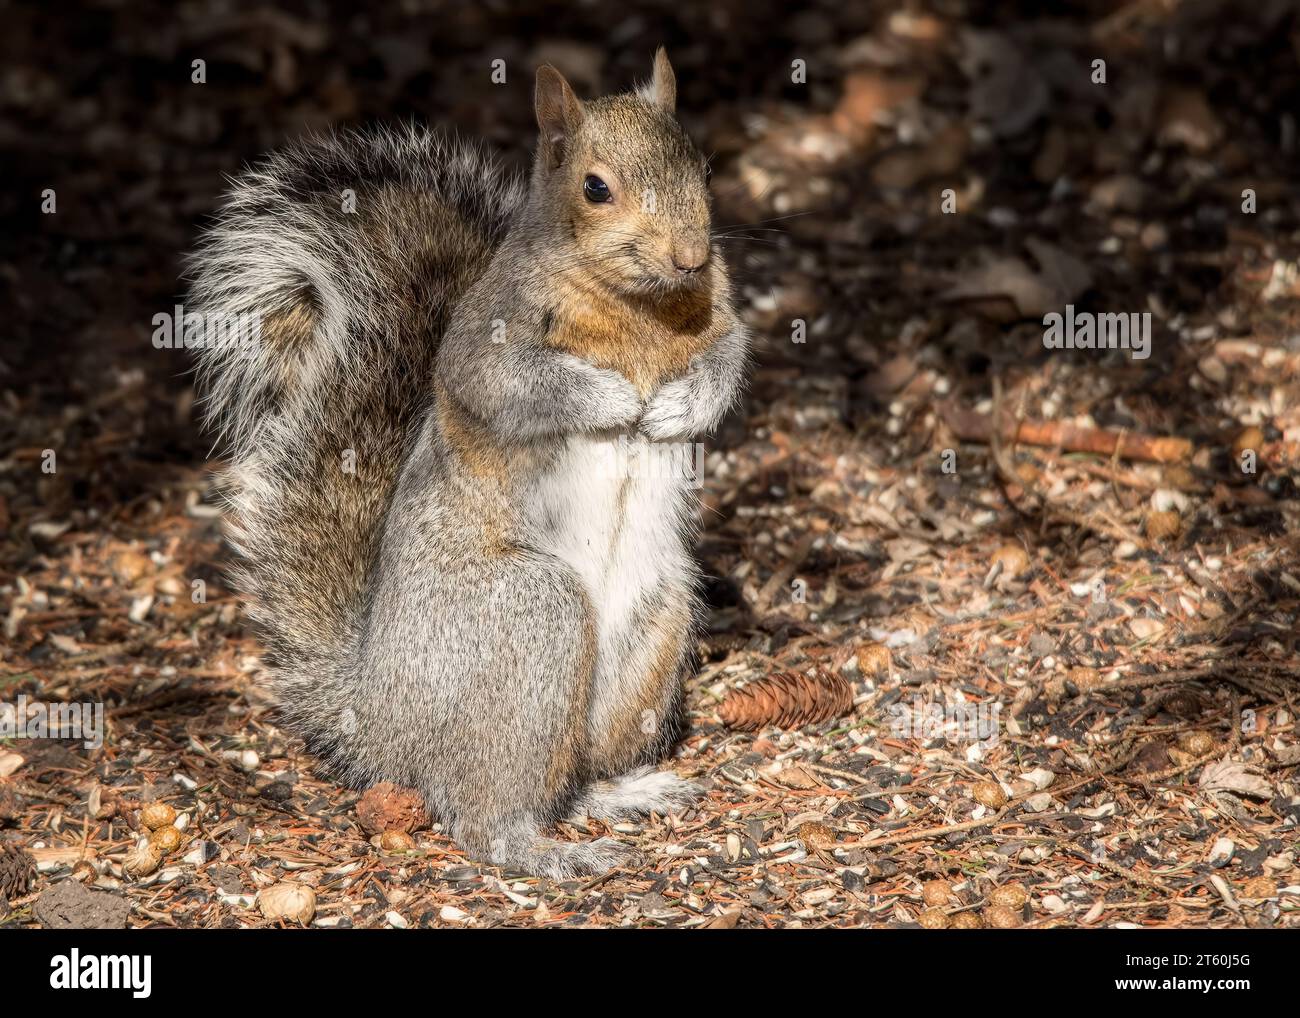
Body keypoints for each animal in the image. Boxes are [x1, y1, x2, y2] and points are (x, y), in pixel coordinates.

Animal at [187, 49, 749, 877]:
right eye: (596, 187)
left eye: (704, 168)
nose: (690, 256)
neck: (640, 307)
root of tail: (378, 718)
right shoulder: (485, 345)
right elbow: (517, 385)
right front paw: (614, 396)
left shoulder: (723, 319)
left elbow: (727, 363)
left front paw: (678, 407)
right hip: (529, 614)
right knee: (485, 813)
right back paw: (540, 850)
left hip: (654, 628)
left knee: (568, 775)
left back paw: (619, 792)